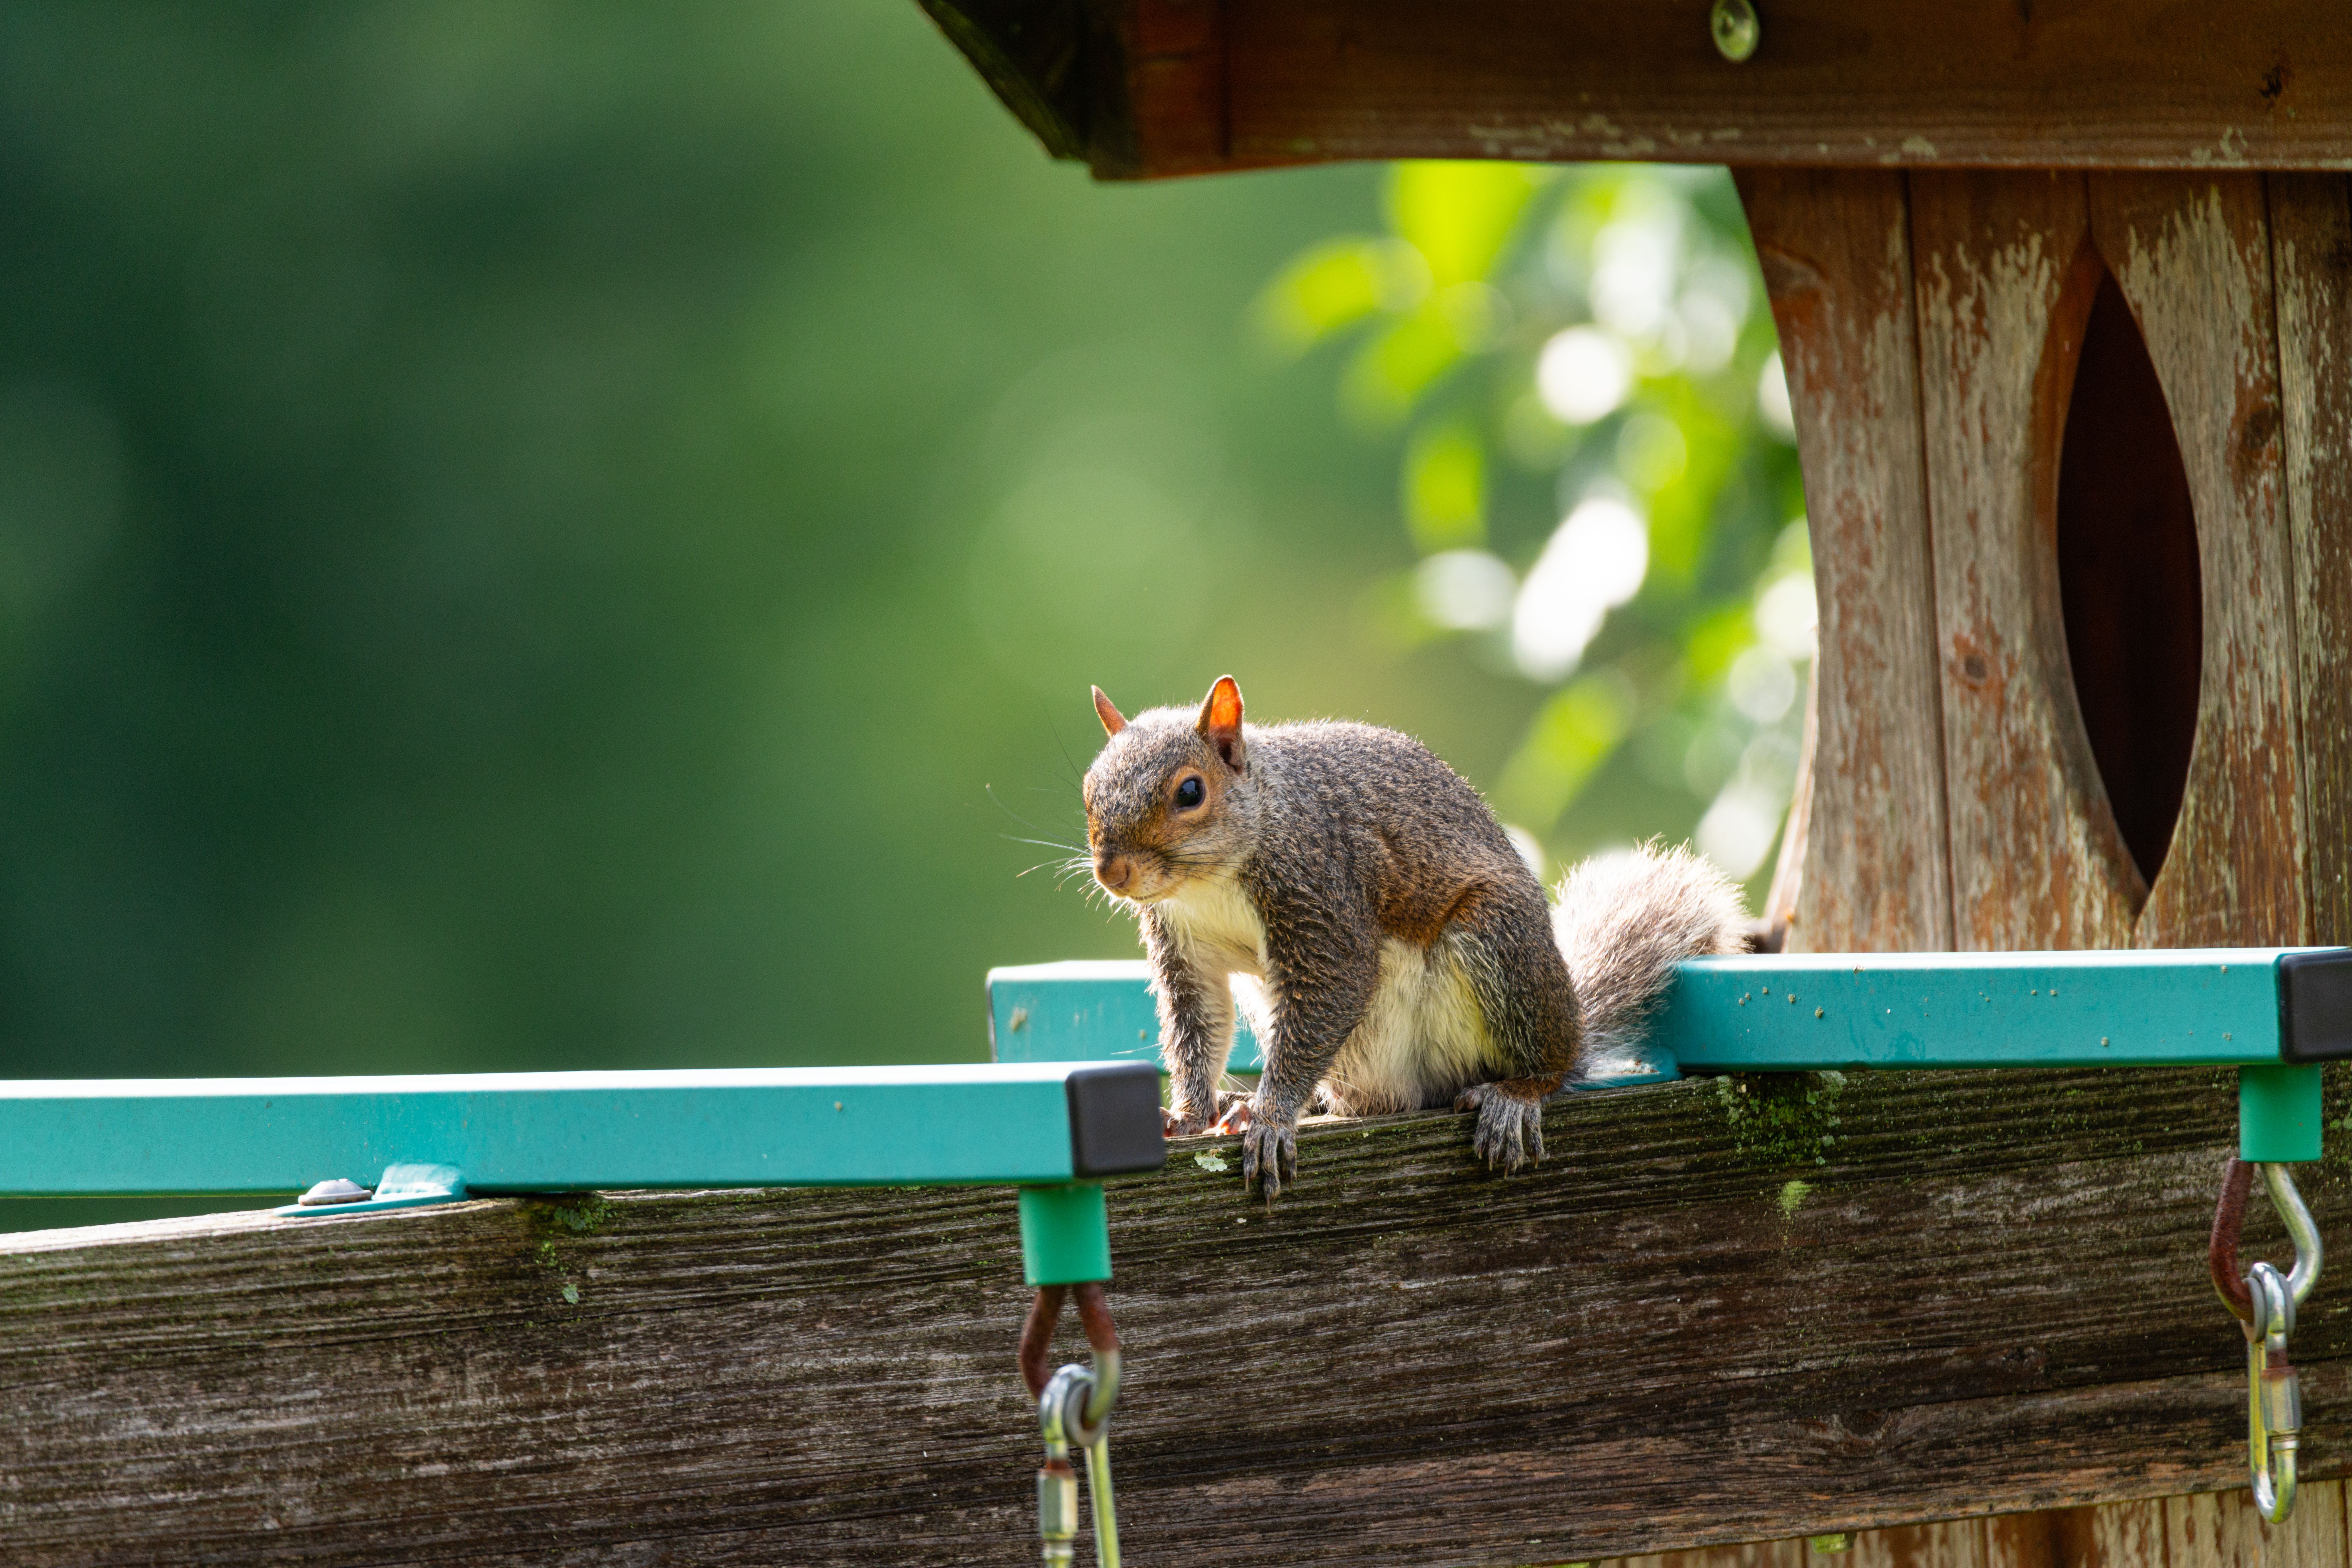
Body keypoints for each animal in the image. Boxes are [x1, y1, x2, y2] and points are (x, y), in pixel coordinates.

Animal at [1082, 675, 1748, 1197]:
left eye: (1191, 791)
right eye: (1089, 789)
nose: (1113, 872)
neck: (1209, 882)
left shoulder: (1323, 898)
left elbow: (1325, 1001)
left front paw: (1271, 1117)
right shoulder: (1185, 947)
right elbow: (1197, 1026)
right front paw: (1191, 1114)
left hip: (1496, 946)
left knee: (1551, 1064)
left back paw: (1517, 1094)